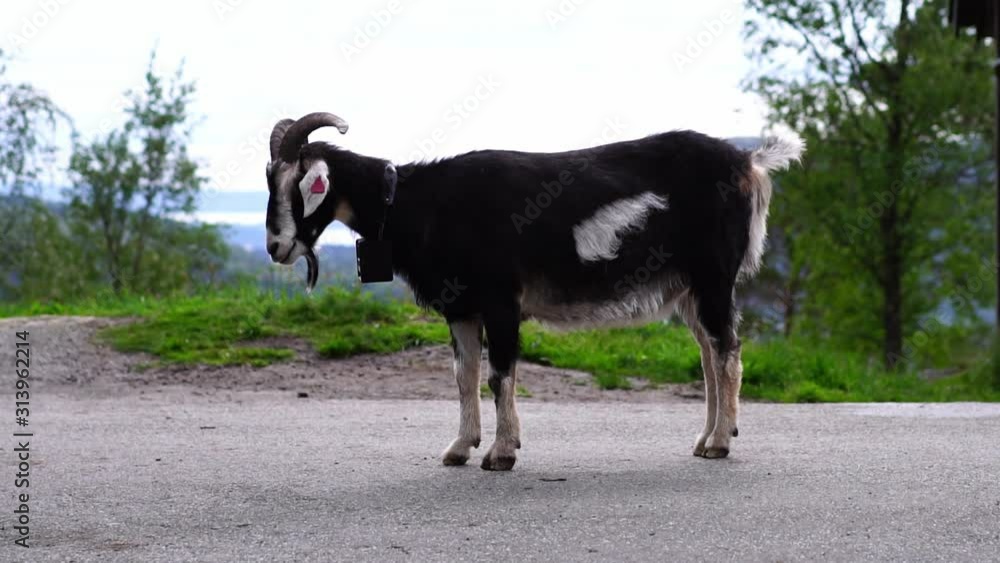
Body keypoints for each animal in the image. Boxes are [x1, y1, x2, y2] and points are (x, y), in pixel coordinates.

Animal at [264, 112, 804, 470]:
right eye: (268, 180)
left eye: (301, 185)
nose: (275, 246)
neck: (422, 203)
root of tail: (749, 162)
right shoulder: (461, 308)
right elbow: (464, 376)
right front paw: (459, 448)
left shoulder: (502, 301)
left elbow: (500, 374)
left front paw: (501, 452)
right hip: (689, 287)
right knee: (710, 353)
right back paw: (706, 437)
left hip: (714, 276)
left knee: (727, 351)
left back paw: (720, 443)